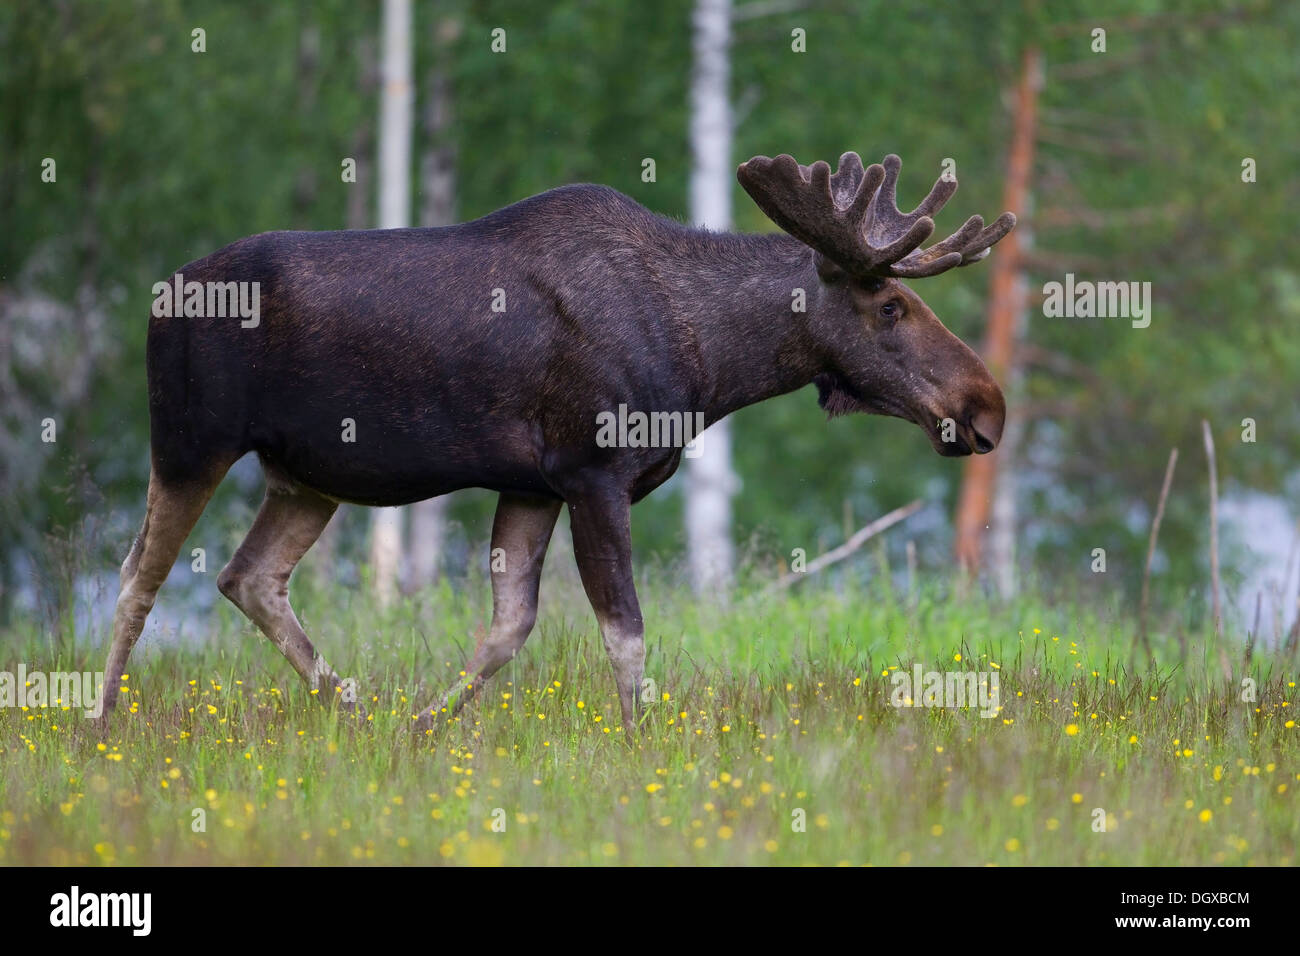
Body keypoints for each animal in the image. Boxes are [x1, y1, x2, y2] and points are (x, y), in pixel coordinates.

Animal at [101, 151, 1014, 734]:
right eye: (889, 306)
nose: (989, 407)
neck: (709, 365)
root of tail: (156, 296)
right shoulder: (591, 468)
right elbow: (625, 628)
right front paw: (638, 745)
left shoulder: (532, 484)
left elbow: (511, 626)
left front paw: (423, 726)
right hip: (189, 440)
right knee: (140, 572)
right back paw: (100, 718)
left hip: (305, 475)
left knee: (247, 577)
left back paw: (355, 710)